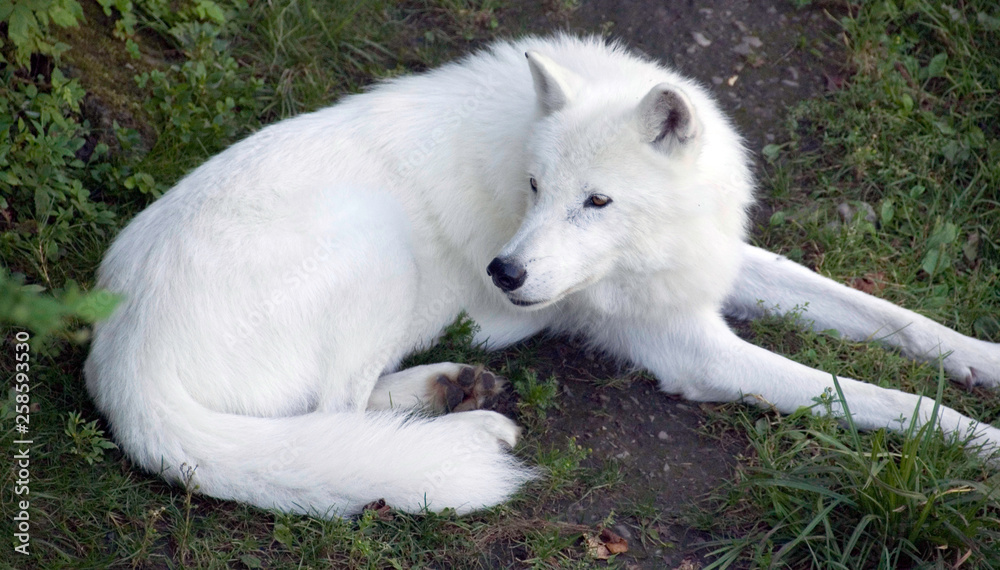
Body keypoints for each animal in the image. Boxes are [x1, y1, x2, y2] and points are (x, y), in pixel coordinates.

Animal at [84, 35, 1000, 517]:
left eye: (596, 201)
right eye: (533, 188)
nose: (504, 270)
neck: (653, 244)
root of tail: (119, 362)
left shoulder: (714, 268)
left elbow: (894, 320)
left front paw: (982, 361)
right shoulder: (692, 353)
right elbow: (877, 395)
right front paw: (979, 440)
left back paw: (450, 392)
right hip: (375, 238)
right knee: (332, 418)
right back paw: (451, 425)